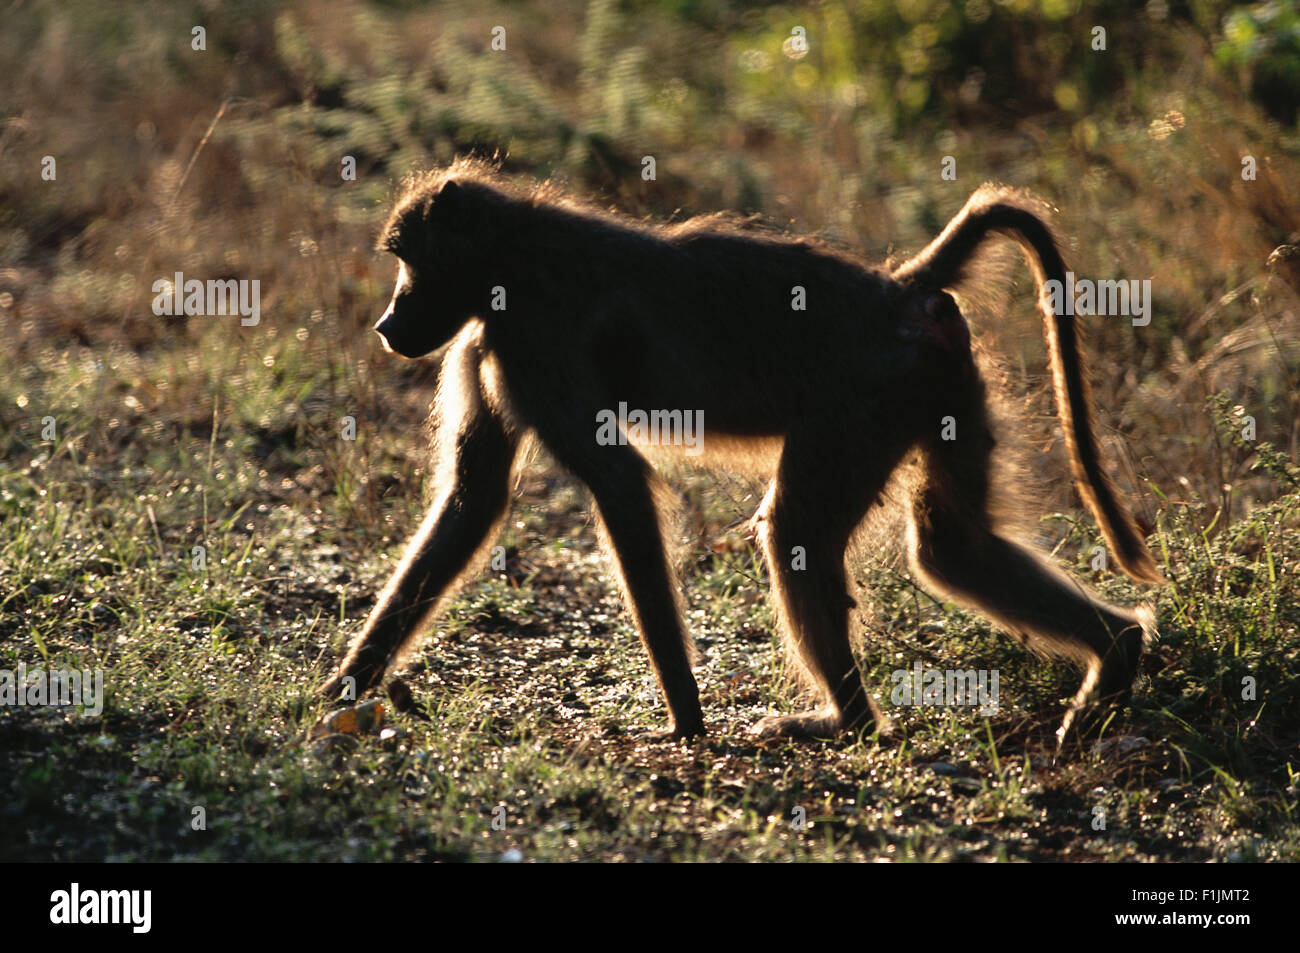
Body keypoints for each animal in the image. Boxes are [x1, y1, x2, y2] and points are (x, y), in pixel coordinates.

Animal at [320, 159, 1162, 745]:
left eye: (409, 261)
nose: (388, 323)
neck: (508, 254)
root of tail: (899, 286)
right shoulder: (487, 343)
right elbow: (474, 497)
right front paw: (344, 688)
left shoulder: (531, 334)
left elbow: (618, 482)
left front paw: (686, 717)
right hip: (938, 389)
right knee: (950, 547)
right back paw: (1115, 656)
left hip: (866, 402)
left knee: (798, 532)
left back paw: (847, 722)